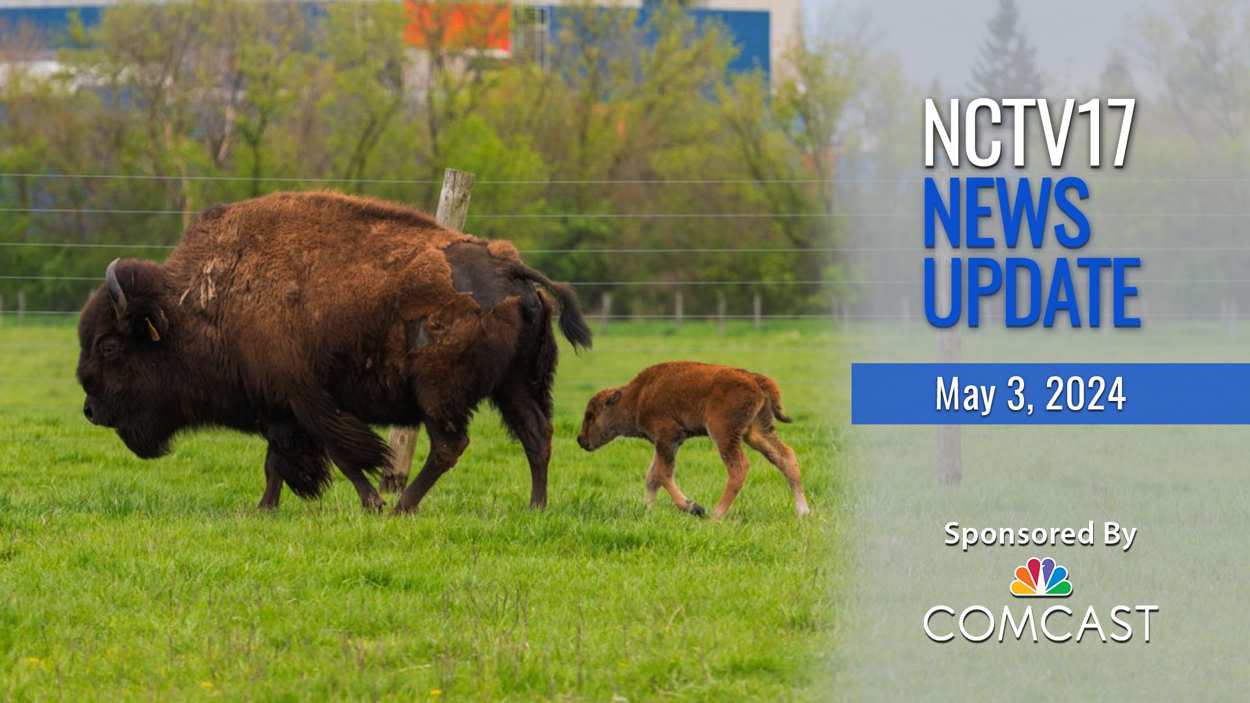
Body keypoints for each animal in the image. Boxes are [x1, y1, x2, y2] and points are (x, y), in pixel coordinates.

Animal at [76, 191, 591, 513]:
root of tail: (511, 270)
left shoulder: (307, 401)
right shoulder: (279, 407)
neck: (206, 301)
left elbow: (341, 454)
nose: (90, 409)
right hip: (517, 386)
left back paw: (403, 507)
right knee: (536, 436)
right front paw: (264, 507)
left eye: (109, 345)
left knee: (451, 445)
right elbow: (279, 461)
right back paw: (535, 506)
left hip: (440, 394)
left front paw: (372, 503)